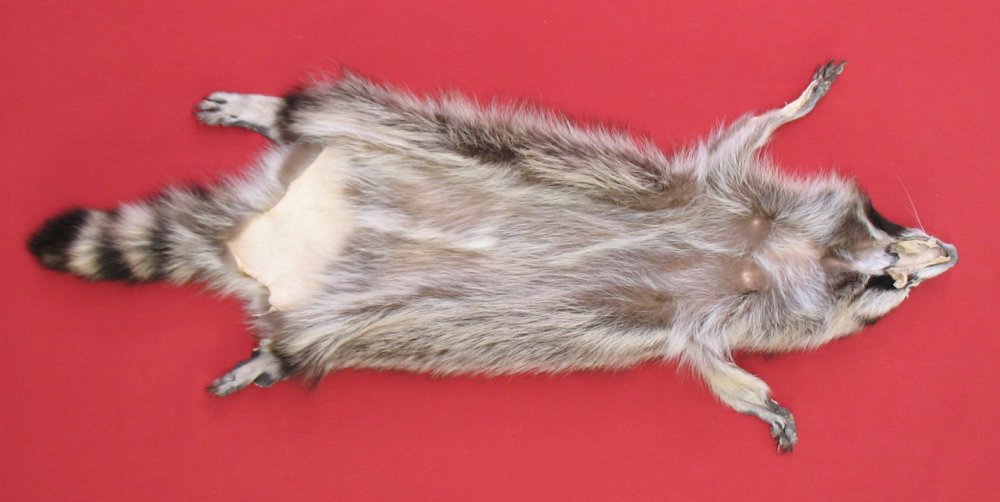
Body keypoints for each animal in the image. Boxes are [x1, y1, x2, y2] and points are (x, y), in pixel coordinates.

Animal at [27, 61, 957, 452]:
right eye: (892, 274)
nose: (945, 249)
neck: (787, 252)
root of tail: (259, 237)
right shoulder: (725, 194)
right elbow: (750, 135)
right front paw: (794, 104)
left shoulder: (715, 307)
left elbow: (709, 359)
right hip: (398, 135)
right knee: (345, 108)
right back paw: (273, 110)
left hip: (359, 316)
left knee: (313, 336)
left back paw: (271, 352)